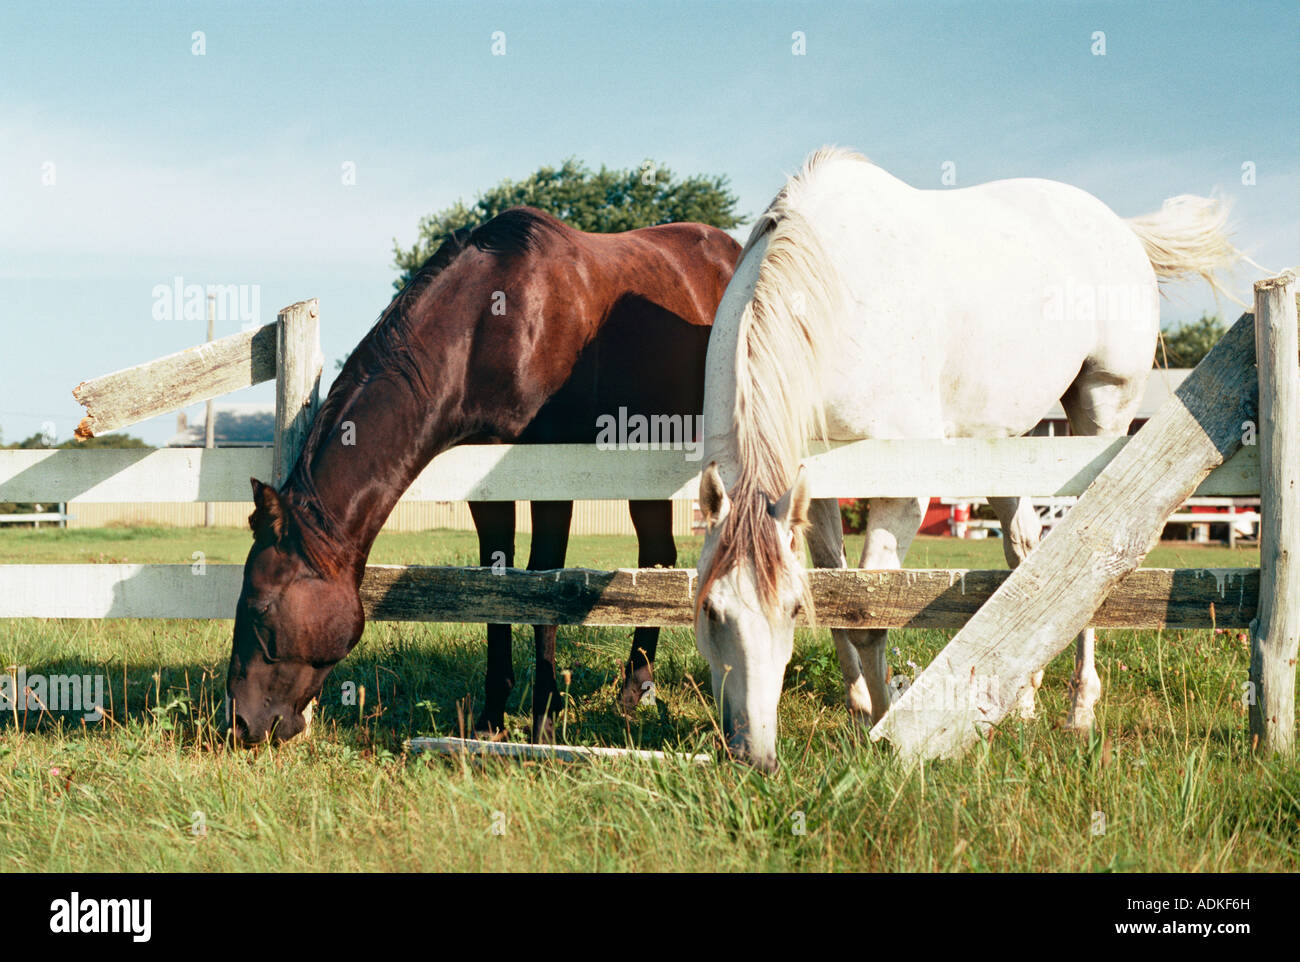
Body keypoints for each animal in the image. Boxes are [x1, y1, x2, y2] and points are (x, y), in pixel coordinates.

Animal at [225, 207, 740, 745]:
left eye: (260, 607)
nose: (238, 721)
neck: (495, 327)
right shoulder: (484, 483)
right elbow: (498, 579)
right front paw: (491, 718)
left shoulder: (551, 478)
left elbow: (543, 584)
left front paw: (543, 721)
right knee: (658, 555)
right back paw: (636, 686)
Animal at [694, 147, 1243, 771]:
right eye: (709, 610)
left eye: (787, 611)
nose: (752, 753)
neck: (830, 297)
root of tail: (1120, 228)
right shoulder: (818, 487)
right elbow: (839, 595)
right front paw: (859, 708)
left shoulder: (901, 492)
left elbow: (870, 615)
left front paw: (885, 726)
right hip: (1002, 443)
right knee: (1024, 549)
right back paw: (1023, 702)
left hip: (1101, 412)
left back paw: (1080, 710)